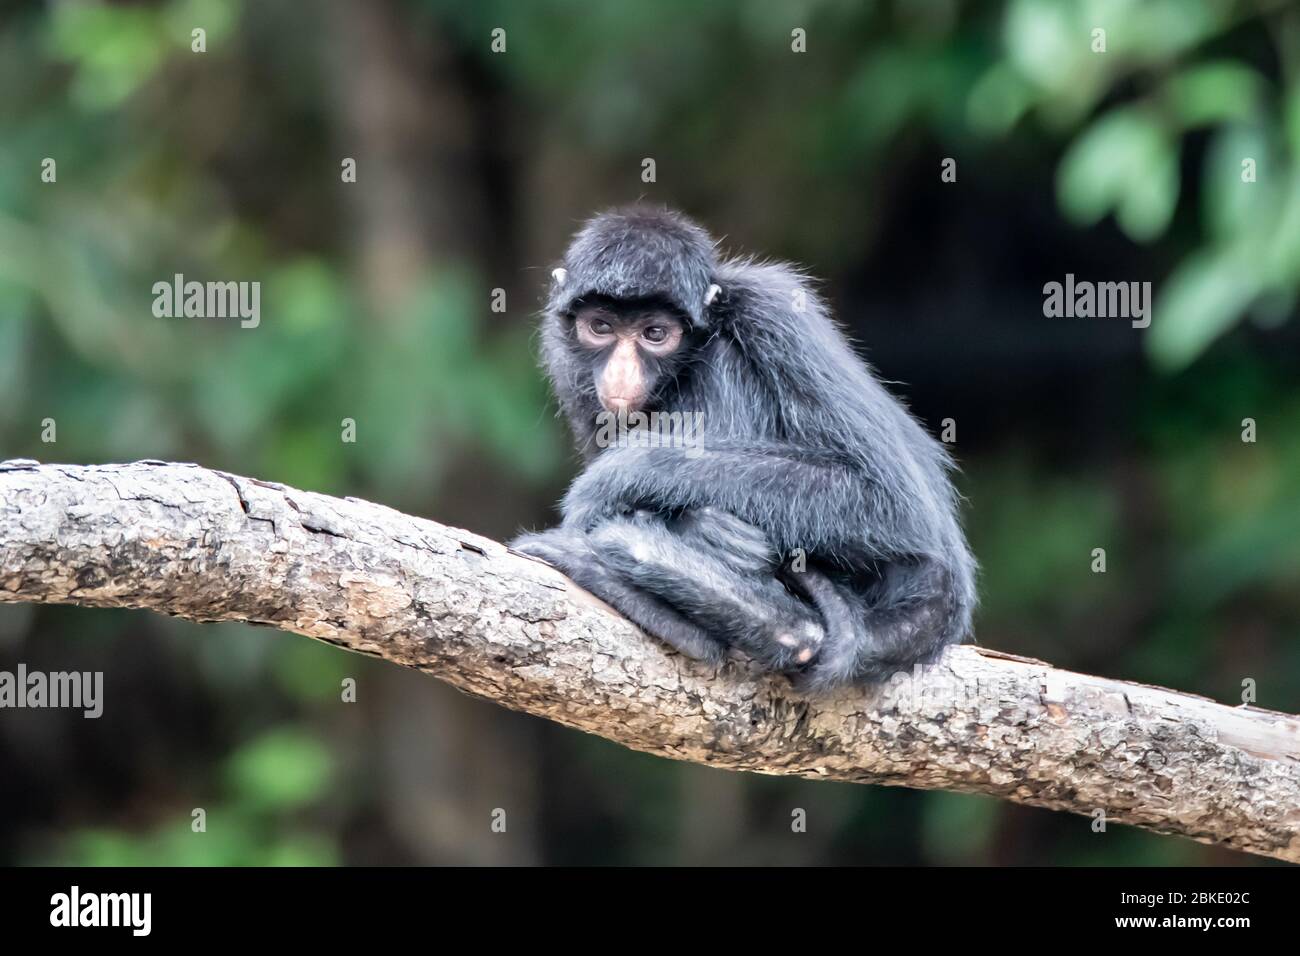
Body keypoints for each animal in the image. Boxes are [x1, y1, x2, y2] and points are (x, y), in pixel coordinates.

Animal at [511, 205, 976, 690]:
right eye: (600, 327)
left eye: (655, 333)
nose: (621, 374)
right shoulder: (566, 362)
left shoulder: (773, 309)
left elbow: (896, 506)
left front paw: (616, 478)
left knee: (721, 356)